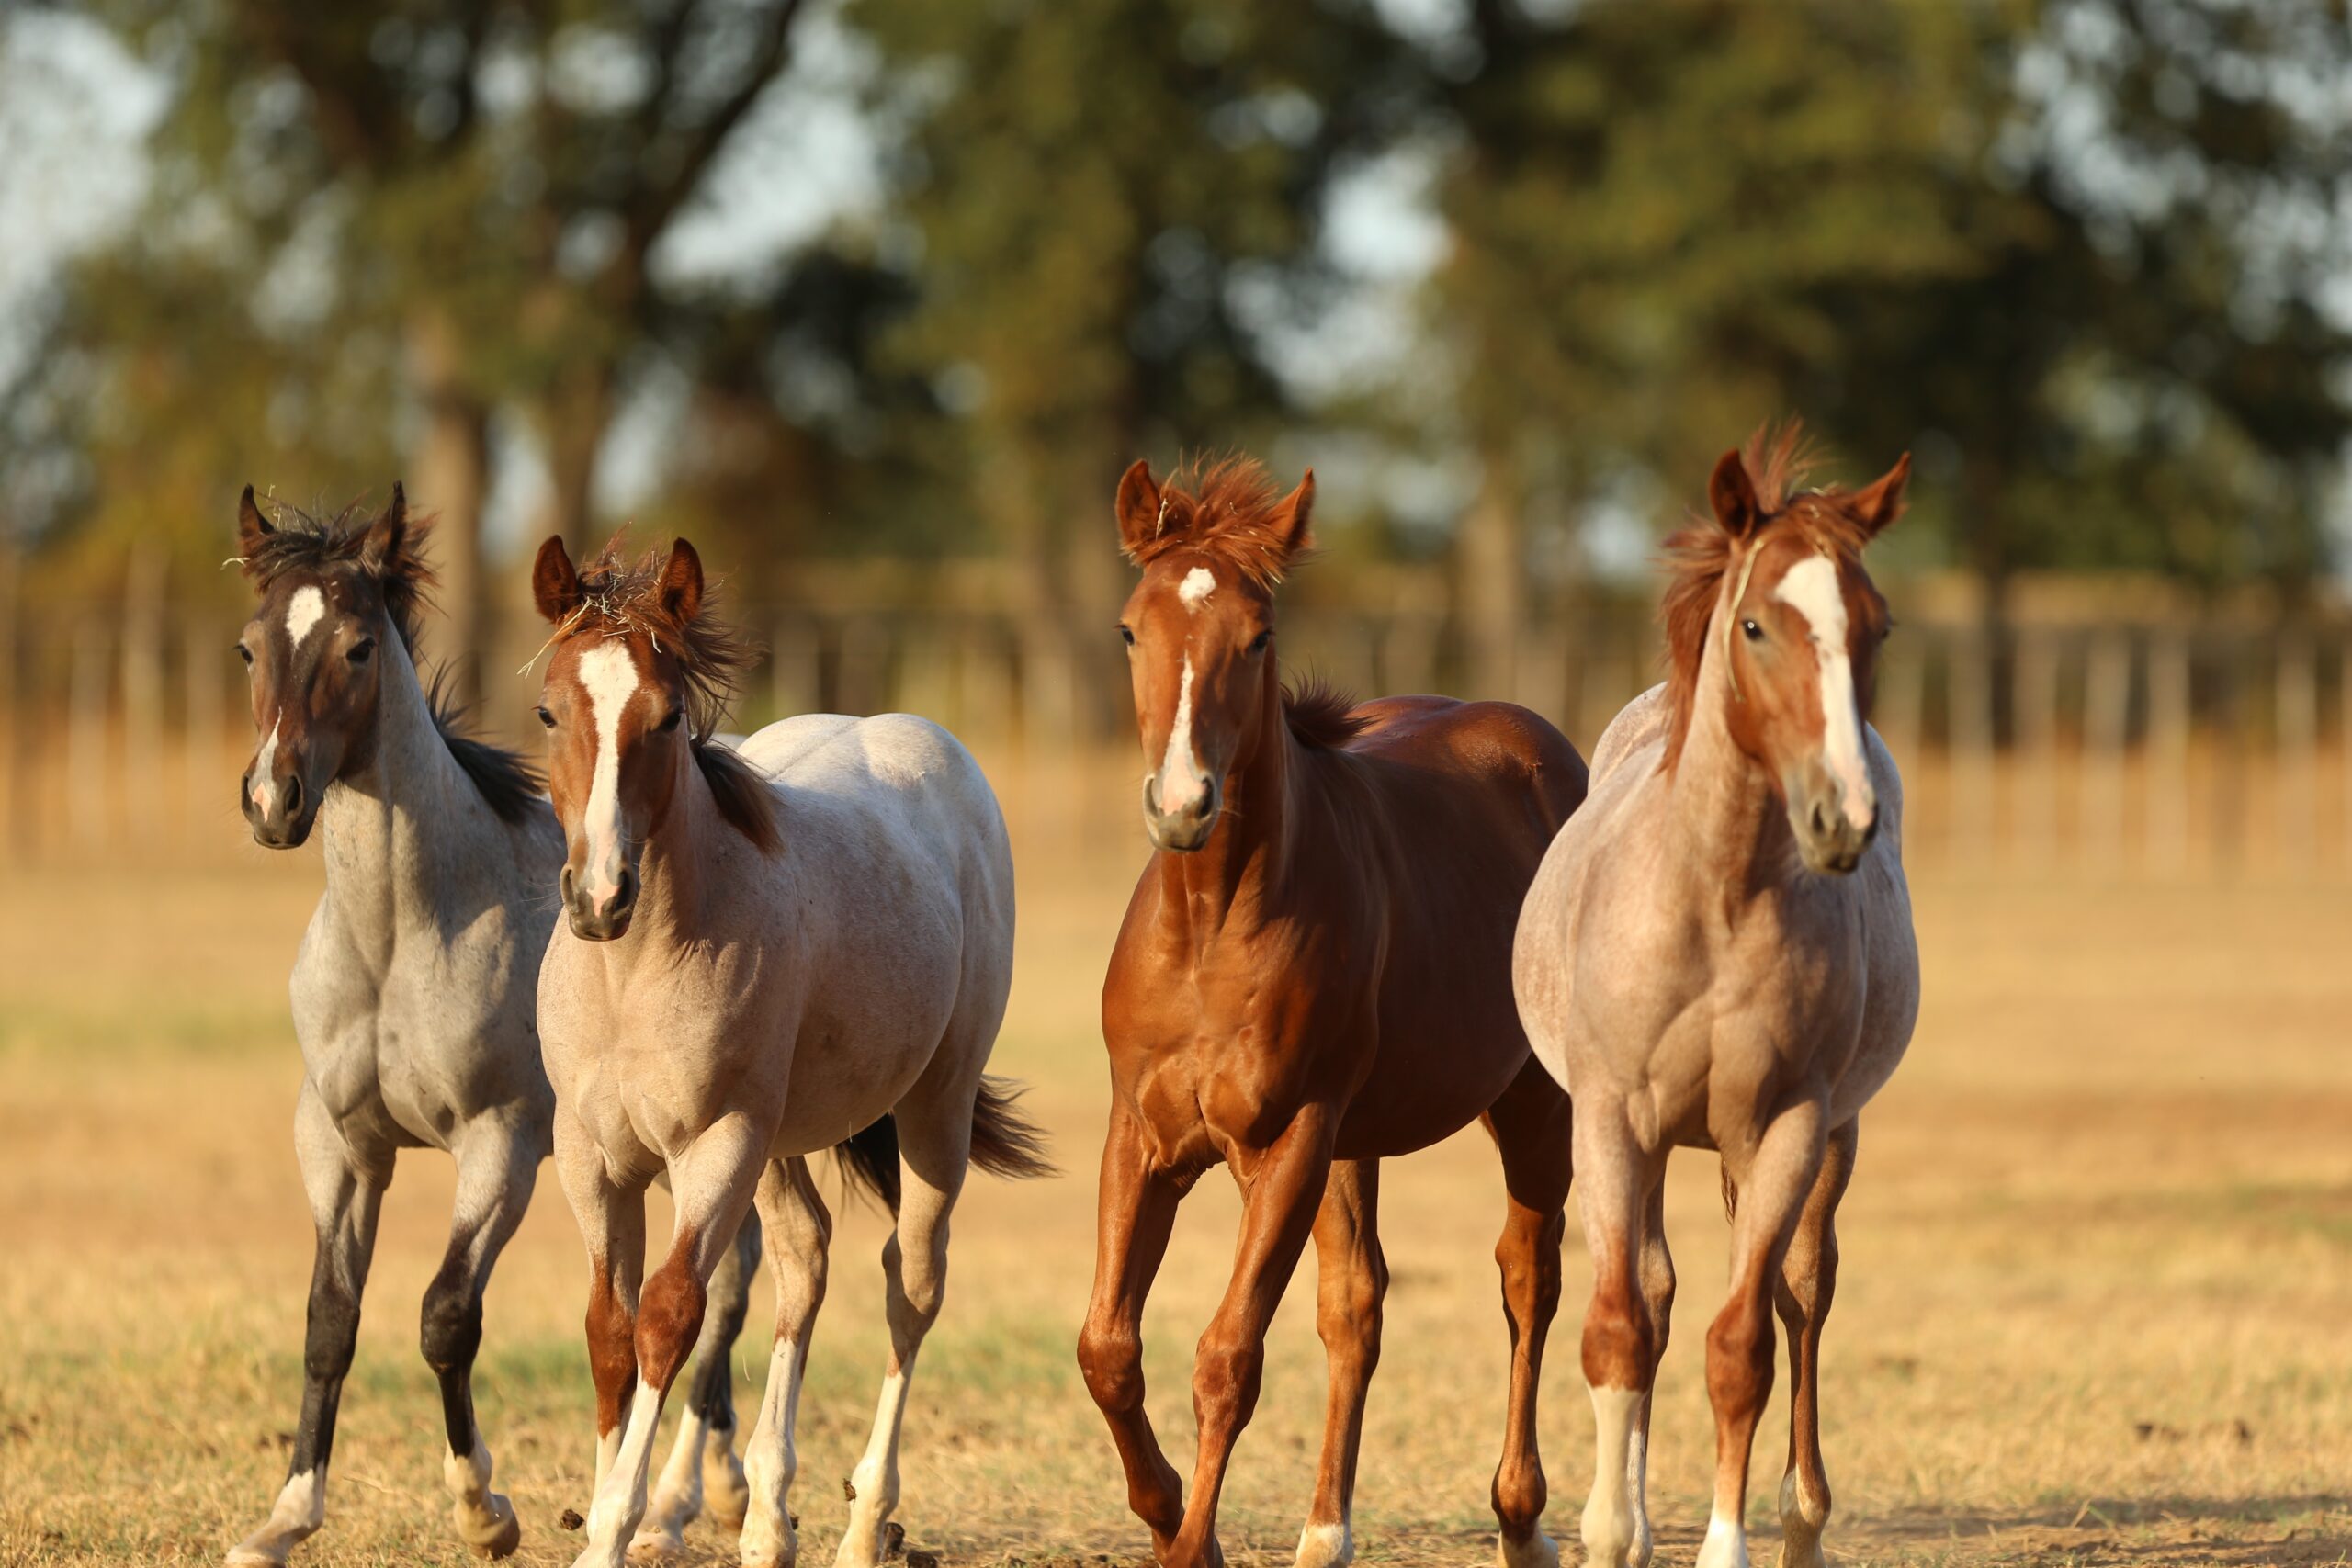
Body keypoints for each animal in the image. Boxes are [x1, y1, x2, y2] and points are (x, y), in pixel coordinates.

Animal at [223, 487, 767, 1566]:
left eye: (357, 648)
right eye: (251, 646)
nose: (273, 800)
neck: (402, 938)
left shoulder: (500, 1146)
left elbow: (445, 1314)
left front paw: (485, 1508)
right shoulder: (339, 1145)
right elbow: (329, 1318)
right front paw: (286, 1515)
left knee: (730, 1284)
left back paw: (689, 1499)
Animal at [527, 533, 1051, 1568]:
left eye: (667, 716)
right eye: (549, 710)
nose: (599, 895)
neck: (631, 977)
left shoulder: (716, 1144)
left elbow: (666, 1317)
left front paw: (616, 1525)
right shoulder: (591, 1155)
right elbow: (609, 1329)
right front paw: (618, 1516)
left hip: (927, 1112)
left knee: (911, 1284)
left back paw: (861, 1524)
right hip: (779, 1145)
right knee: (805, 1260)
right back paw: (768, 1519)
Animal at [1081, 456, 1591, 1568]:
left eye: (1257, 634)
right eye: (1130, 629)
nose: (1182, 803)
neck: (1209, 931)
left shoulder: (1290, 1140)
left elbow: (1227, 1358)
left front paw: (1193, 1544)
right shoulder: (1140, 1135)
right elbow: (1108, 1347)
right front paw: (1169, 1517)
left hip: (1534, 1107)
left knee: (1529, 1278)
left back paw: (1521, 1518)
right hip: (1358, 1145)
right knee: (1357, 1303)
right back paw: (1325, 1532)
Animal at [1511, 430, 1921, 1568]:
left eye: (1875, 625)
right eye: (1754, 624)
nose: (1842, 817)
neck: (1713, 900)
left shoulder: (1785, 1127)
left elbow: (1741, 1347)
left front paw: (1727, 1543)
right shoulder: (1610, 1119)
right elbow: (1619, 1327)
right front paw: (1613, 1533)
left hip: (1824, 1143)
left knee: (1800, 1296)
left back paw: (1802, 1519)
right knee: (1651, 1295)